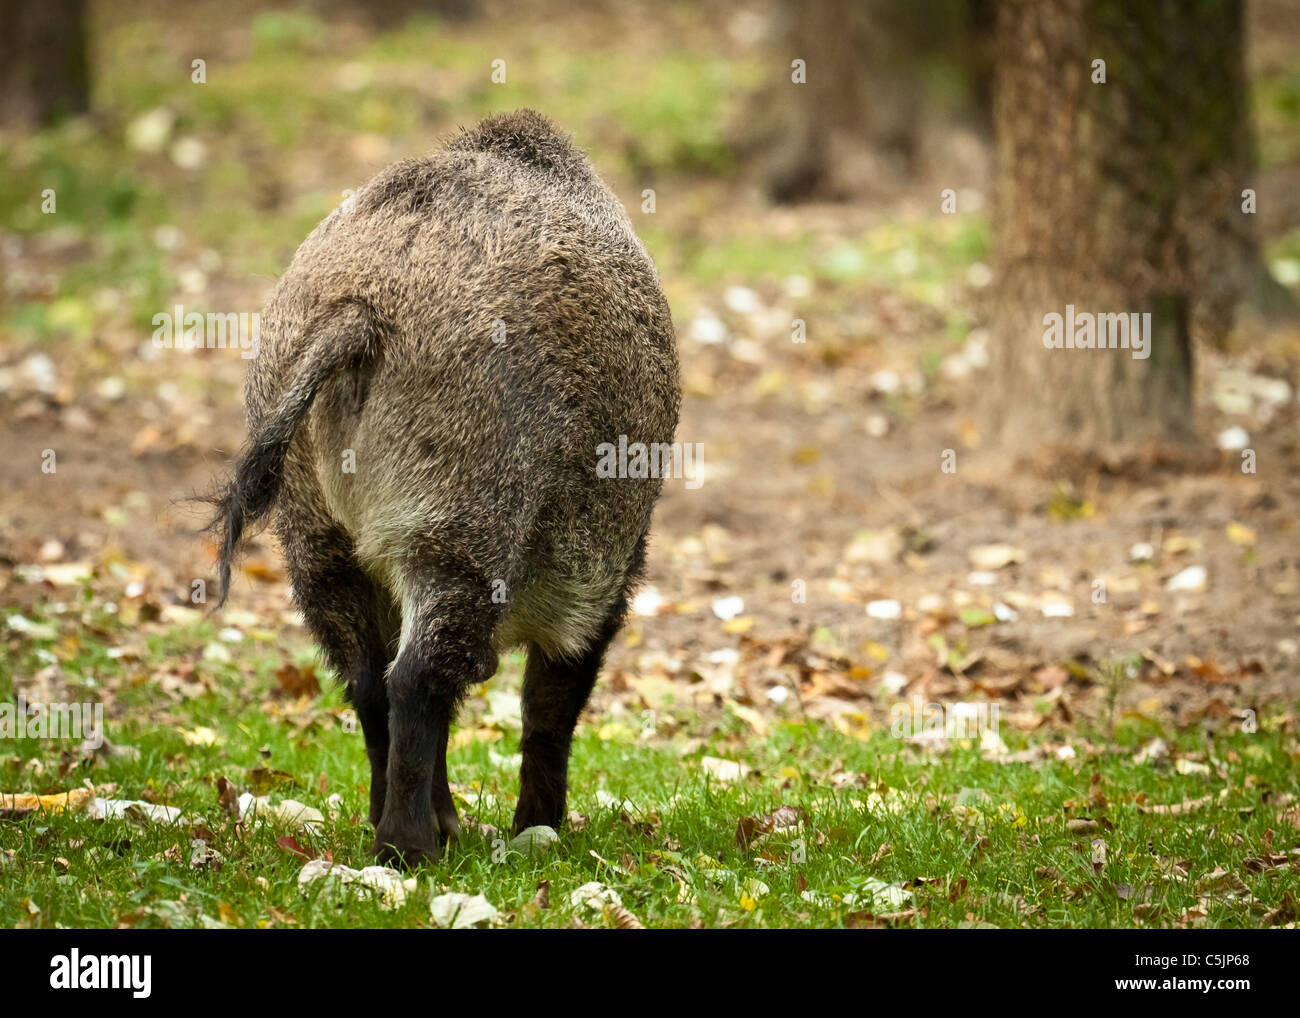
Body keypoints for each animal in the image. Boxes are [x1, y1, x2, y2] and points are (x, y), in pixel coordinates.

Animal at [207, 110, 680, 867]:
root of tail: (359, 309)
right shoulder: (601, 580)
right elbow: (551, 701)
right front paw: (540, 832)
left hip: (315, 540)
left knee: (368, 680)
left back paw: (414, 832)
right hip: (457, 523)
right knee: (416, 677)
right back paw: (411, 850)